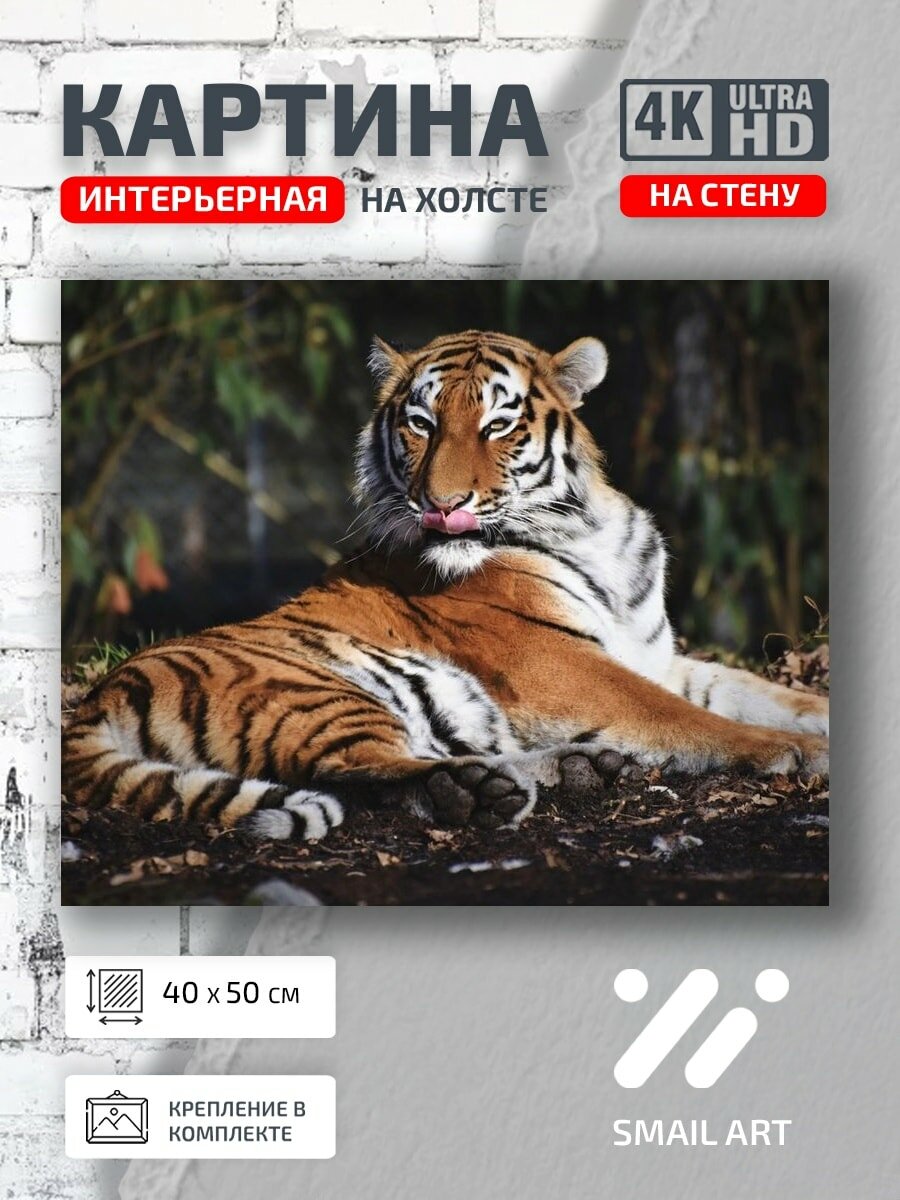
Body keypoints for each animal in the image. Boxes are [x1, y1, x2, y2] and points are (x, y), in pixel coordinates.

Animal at [62, 329, 829, 842]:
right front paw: (793, 753)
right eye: (420, 423)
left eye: (498, 424)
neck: (590, 530)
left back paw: (579, 769)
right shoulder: (557, 664)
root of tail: (94, 701)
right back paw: (482, 793)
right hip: (311, 689)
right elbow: (688, 718)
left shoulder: (655, 656)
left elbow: (766, 695)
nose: (440, 503)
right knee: (364, 770)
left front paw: (813, 721)